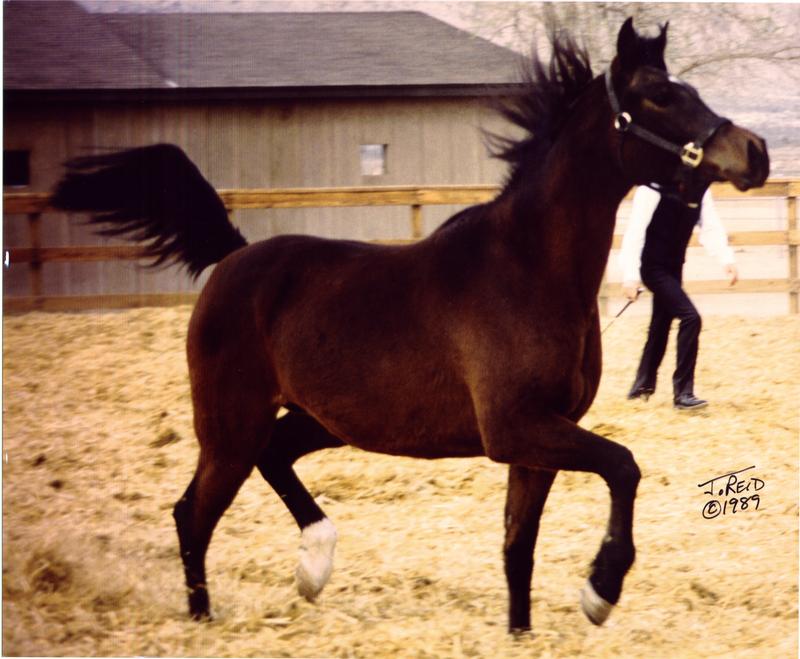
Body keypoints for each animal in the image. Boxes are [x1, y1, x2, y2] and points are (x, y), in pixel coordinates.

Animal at [51, 18, 768, 633]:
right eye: (658, 95)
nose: (755, 153)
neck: (529, 268)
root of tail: (232, 258)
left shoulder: (535, 441)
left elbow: (518, 548)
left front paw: (523, 629)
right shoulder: (519, 428)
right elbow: (623, 466)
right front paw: (601, 590)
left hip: (318, 418)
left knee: (269, 461)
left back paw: (313, 566)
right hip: (230, 425)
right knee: (193, 514)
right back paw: (206, 617)